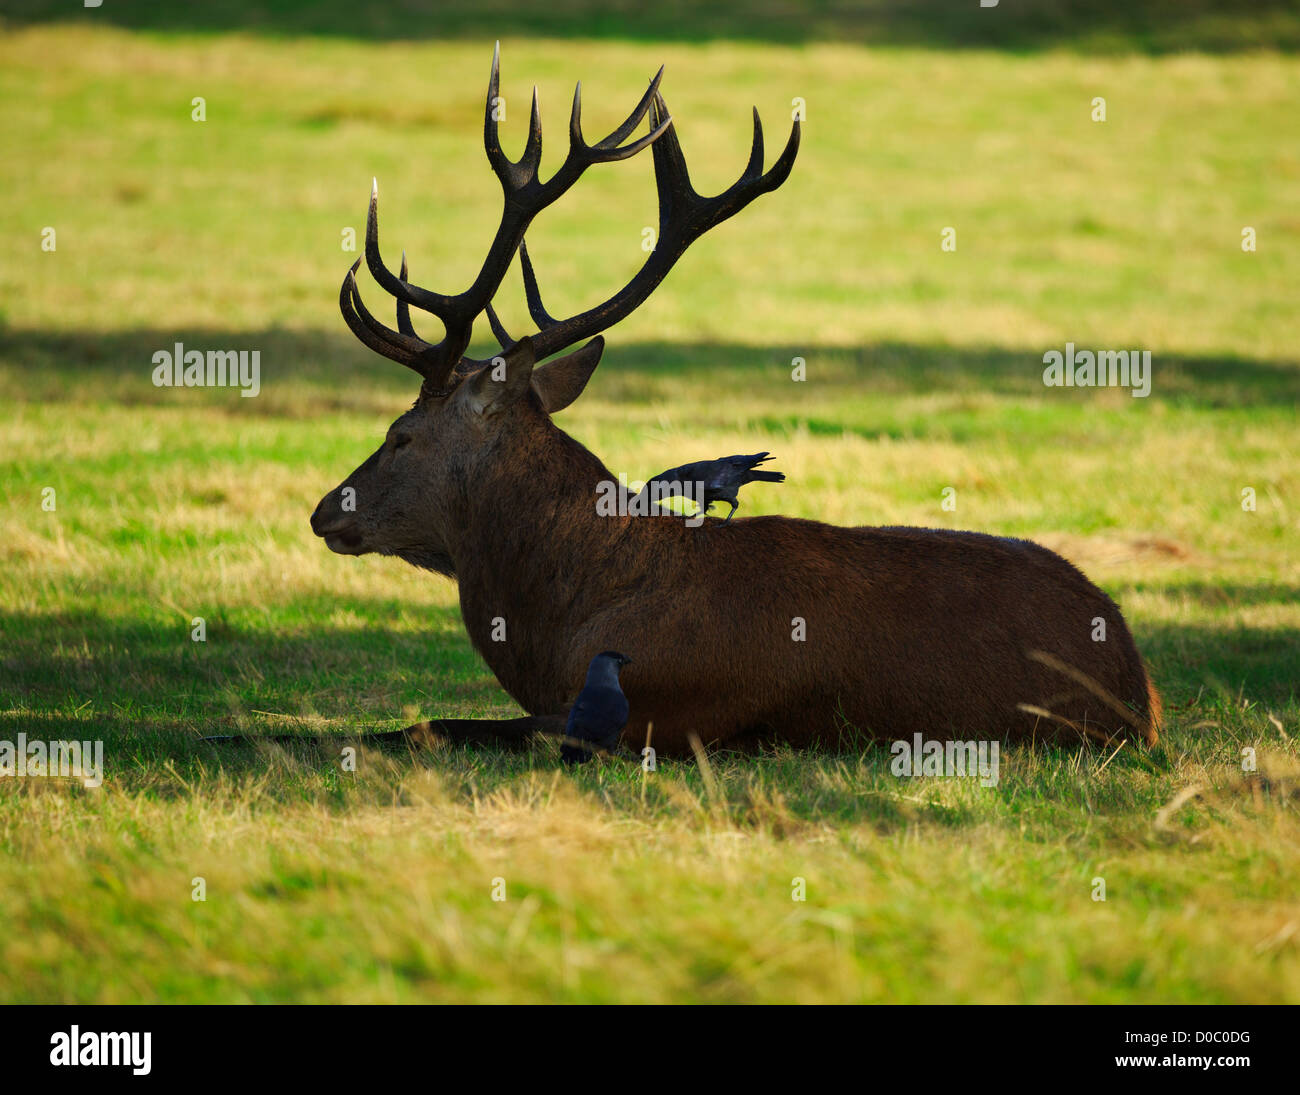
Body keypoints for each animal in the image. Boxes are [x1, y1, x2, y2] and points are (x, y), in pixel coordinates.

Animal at [308, 45, 1161, 759]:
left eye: (402, 434)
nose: (322, 510)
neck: (565, 627)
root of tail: (1142, 694)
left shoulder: (657, 714)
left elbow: (427, 724)